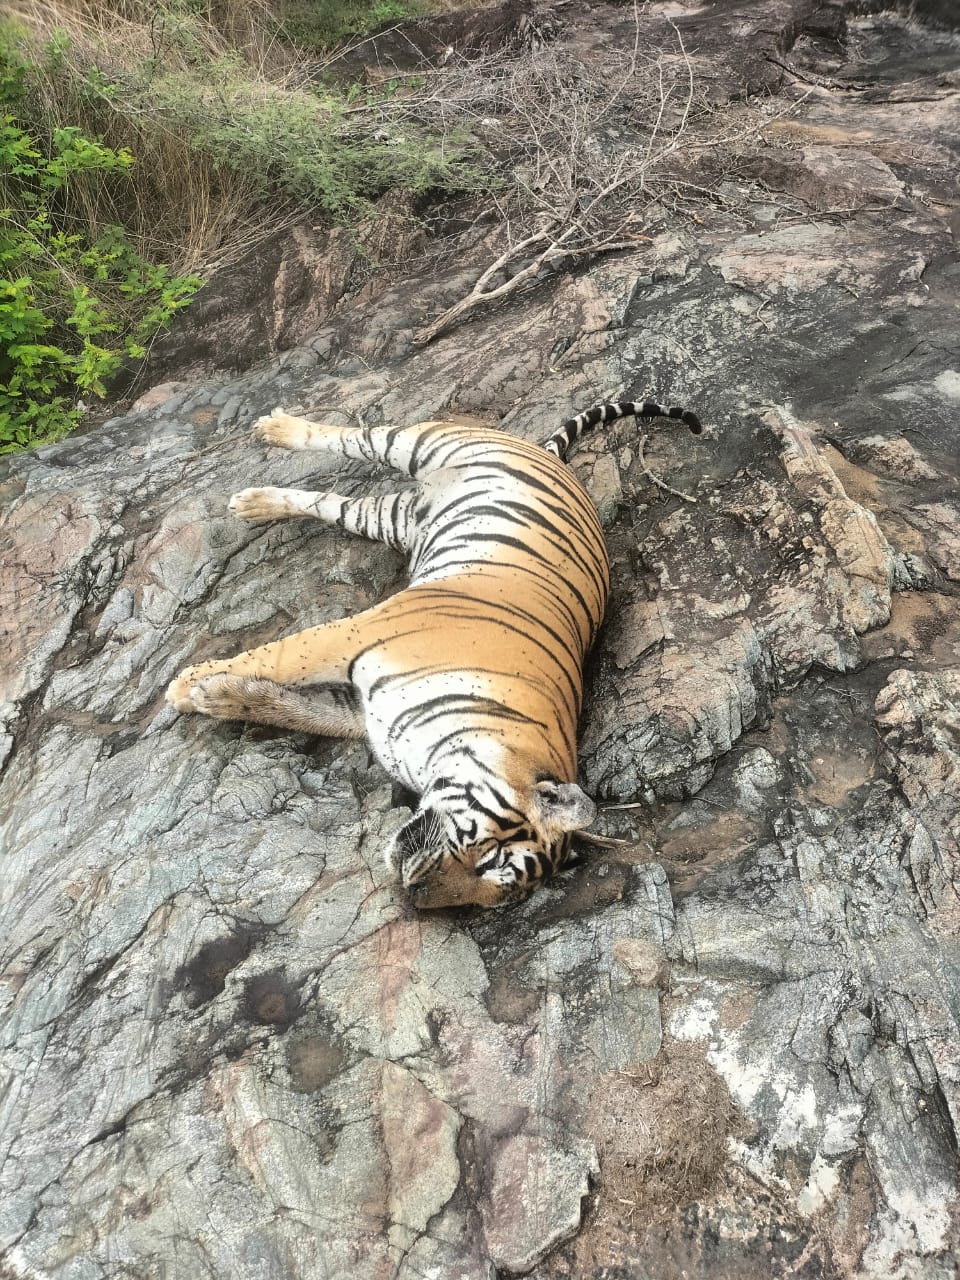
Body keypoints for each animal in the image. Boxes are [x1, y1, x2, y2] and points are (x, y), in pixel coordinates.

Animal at [165, 399, 702, 908]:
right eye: (491, 859)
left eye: (490, 892)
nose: (414, 894)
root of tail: (551, 457)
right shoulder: (354, 636)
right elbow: (277, 658)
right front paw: (184, 685)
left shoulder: (360, 712)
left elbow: (290, 708)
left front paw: (217, 696)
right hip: (421, 443)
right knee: (349, 437)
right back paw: (276, 430)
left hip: (389, 519)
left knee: (329, 501)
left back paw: (254, 503)